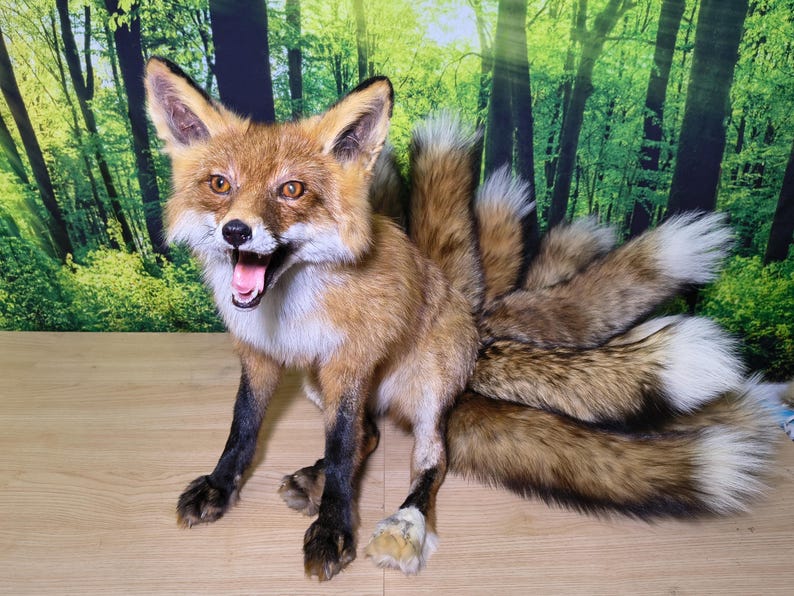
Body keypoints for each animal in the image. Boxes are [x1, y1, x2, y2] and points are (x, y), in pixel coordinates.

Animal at [145, 57, 782, 580]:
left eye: (292, 190)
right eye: (220, 185)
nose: (236, 231)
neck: (290, 311)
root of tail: (474, 323)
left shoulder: (349, 363)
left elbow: (347, 448)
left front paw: (334, 528)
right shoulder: (260, 357)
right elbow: (244, 429)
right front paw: (222, 487)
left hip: (424, 389)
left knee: (428, 456)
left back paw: (404, 525)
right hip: (317, 383)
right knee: (370, 433)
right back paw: (315, 475)